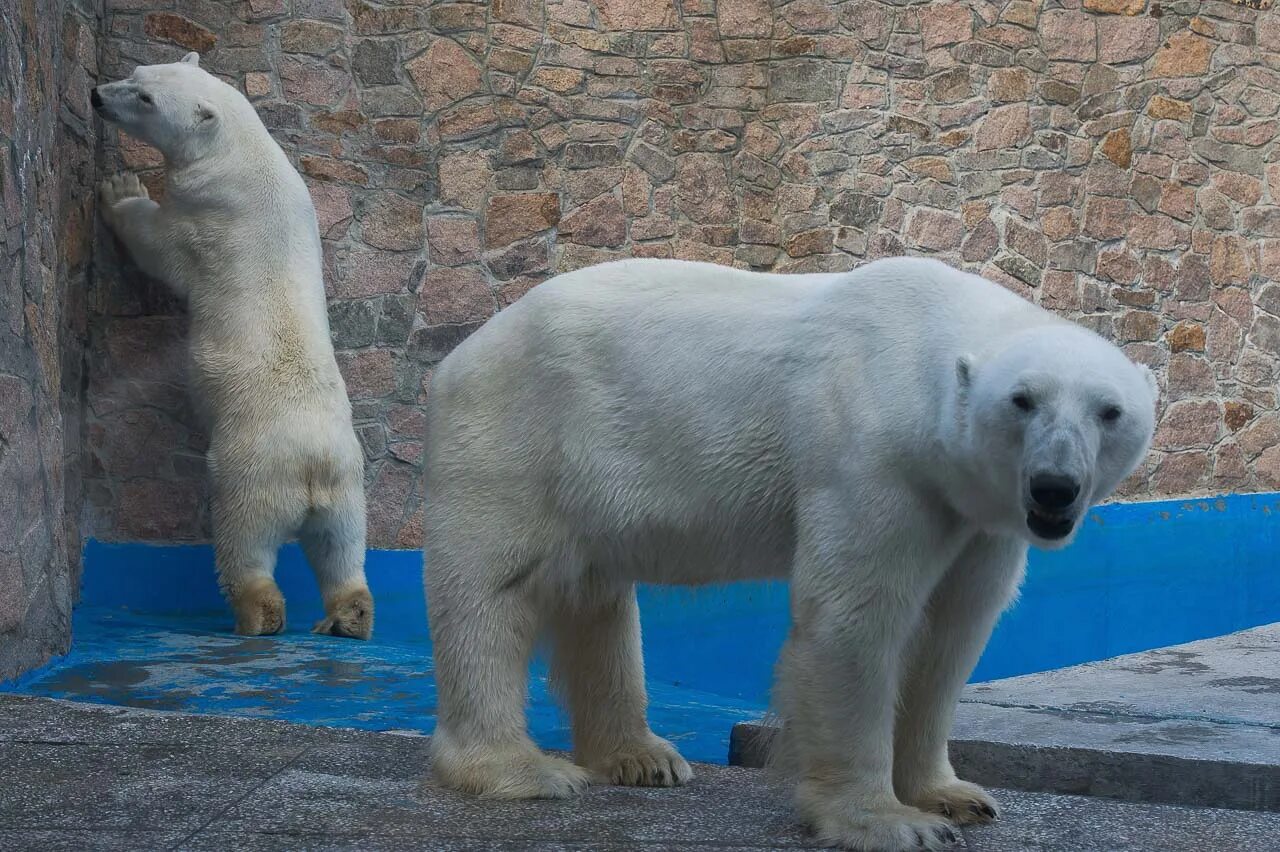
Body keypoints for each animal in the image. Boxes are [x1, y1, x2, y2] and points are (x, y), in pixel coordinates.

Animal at [92, 51, 373, 637]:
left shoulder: (204, 220)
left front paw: (121, 189)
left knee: (244, 541)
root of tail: (311, 464)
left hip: (253, 474)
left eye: (146, 99)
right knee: (342, 549)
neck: (239, 155)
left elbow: (158, 246)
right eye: (137, 74)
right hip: (348, 489)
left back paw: (257, 613)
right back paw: (349, 615)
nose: (97, 96)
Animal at [422, 255, 1162, 844]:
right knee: (492, 592)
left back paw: (642, 756)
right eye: (1021, 399)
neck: (918, 352)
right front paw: (891, 822)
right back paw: (520, 768)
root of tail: (464, 350)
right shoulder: (872, 458)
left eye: (1109, 410)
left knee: (596, 600)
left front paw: (953, 795)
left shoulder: (976, 516)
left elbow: (953, 632)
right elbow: (855, 616)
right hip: (520, 432)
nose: (1055, 486)